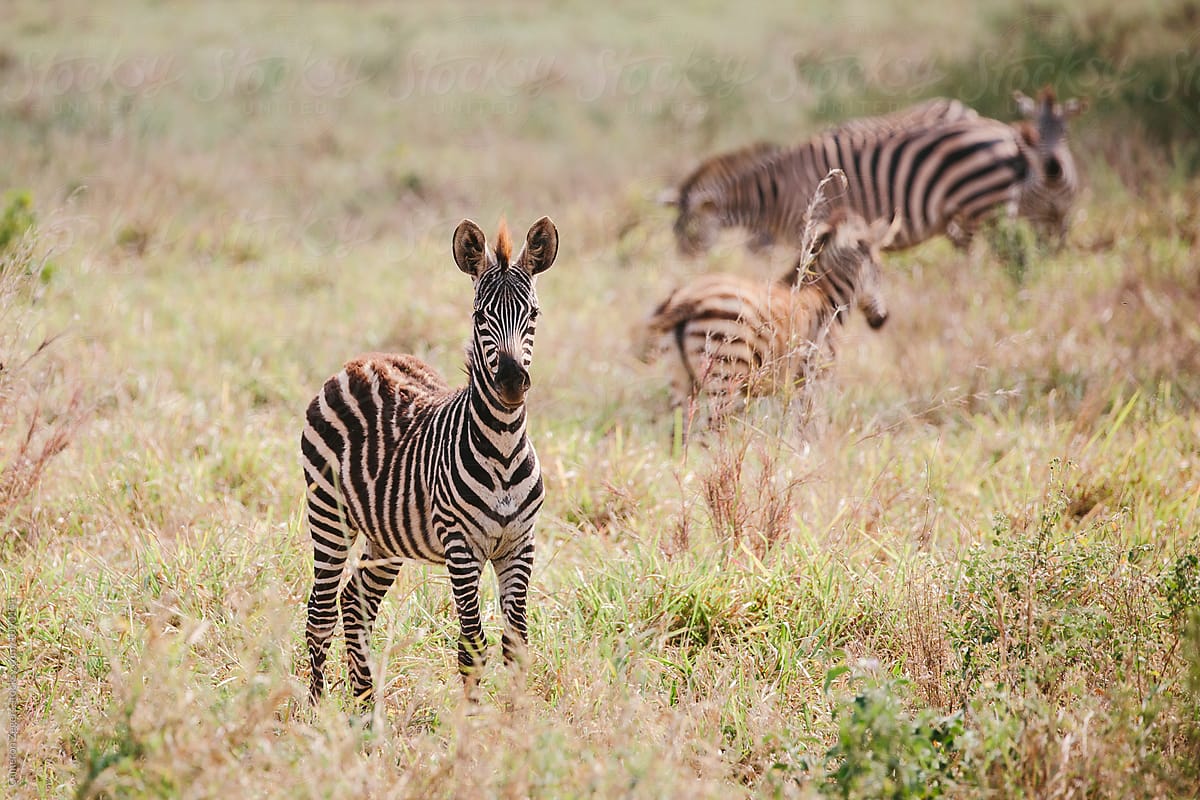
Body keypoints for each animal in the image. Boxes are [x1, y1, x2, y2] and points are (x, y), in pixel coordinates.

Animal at [300, 216, 558, 710]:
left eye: (534, 314)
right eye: (480, 317)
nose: (512, 382)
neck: (503, 447)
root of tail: (363, 361)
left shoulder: (520, 544)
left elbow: (517, 645)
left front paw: (518, 722)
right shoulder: (461, 547)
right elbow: (472, 647)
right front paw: (471, 724)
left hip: (385, 535)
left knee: (355, 603)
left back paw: (365, 707)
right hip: (328, 515)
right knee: (319, 612)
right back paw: (316, 710)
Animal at [638, 205, 899, 426]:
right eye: (880, 271)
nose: (883, 319)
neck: (824, 295)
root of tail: (690, 299)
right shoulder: (813, 379)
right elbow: (809, 427)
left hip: (680, 380)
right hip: (725, 376)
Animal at [1012, 87, 1086, 247]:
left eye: (1064, 132)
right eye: (1038, 132)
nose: (1053, 168)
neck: (1053, 184)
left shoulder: (1065, 213)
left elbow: (1061, 246)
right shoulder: (1036, 216)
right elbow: (1041, 244)